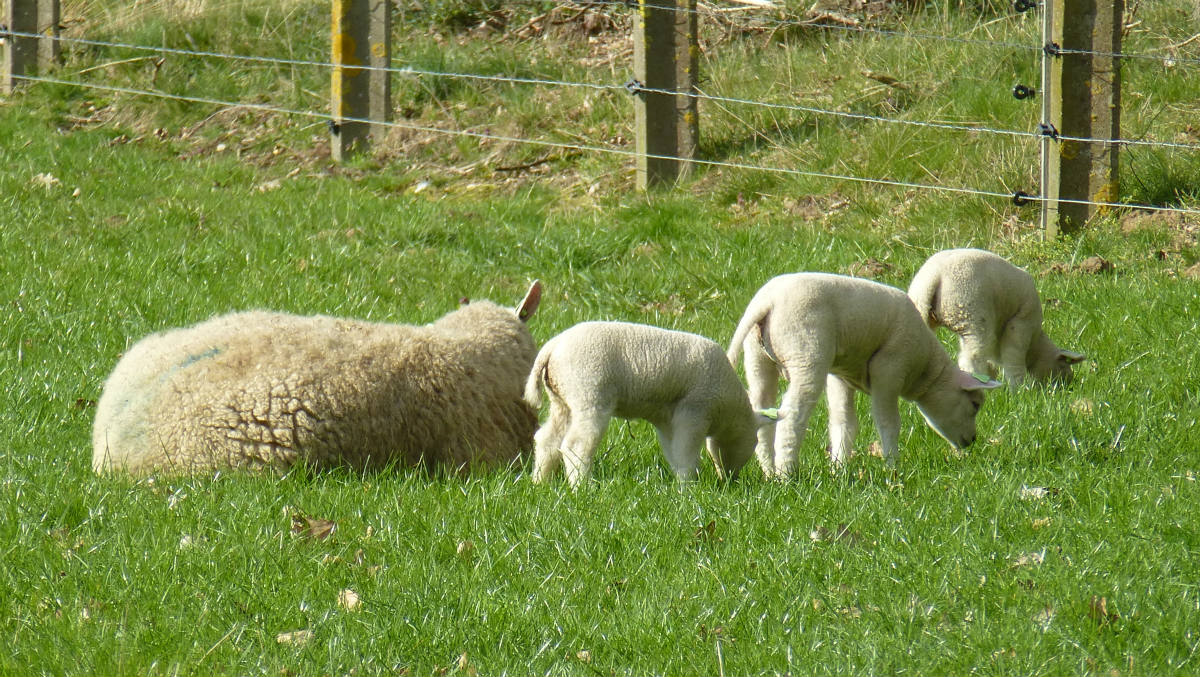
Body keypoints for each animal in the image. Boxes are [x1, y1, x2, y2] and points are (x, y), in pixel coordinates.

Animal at [523, 321, 774, 486]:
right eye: (754, 443)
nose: (731, 480)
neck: (728, 406)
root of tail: (552, 348)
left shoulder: (667, 419)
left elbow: (673, 451)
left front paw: (682, 482)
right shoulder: (694, 410)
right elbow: (686, 451)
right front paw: (690, 487)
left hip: (562, 399)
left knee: (547, 439)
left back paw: (541, 482)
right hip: (588, 393)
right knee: (576, 445)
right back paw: (582, 487)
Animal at [727, 273, 1001, 476]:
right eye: (975, 404)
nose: (972, 440)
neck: (924, 367)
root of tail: (768, 301)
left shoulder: (839, 376)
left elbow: (844, 422)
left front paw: (839, 468)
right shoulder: (889, 368)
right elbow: (888, 422)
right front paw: (892, 466)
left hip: (757, 358)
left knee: (762, 410)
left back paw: (770, 472)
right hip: (806, 353)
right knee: (793, 415)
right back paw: (787, 474)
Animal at [907, 248, 1085, 387]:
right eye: (1062, 368)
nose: (1064, 388)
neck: (1036, 342)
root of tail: (935, 275)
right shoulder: (1021, 323)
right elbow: (1013, 358)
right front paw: (1019, 389)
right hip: (971, 313)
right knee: (973, 356)